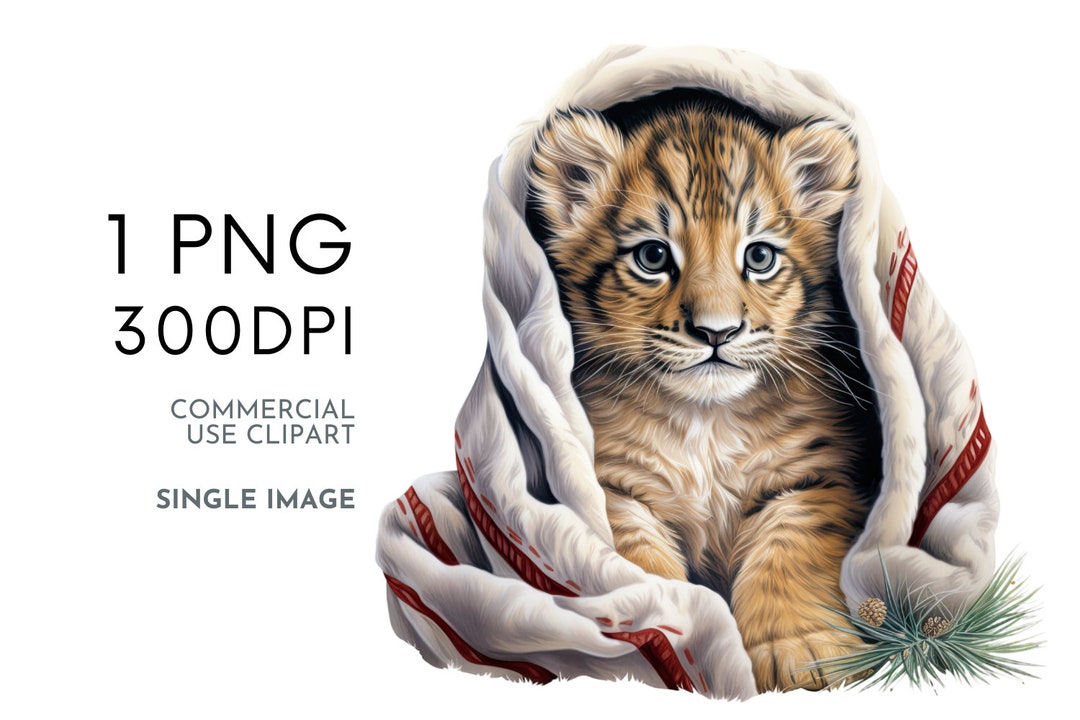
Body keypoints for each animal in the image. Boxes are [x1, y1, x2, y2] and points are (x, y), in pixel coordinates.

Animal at [525, 89, 882, 692]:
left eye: (759, 257)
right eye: (652, 256)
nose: (717, 332)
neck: (706, 421)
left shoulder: (819, 476)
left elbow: (794, 541)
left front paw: (802, 651)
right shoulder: (610, 485)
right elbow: (633, 559)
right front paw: (670, 636)